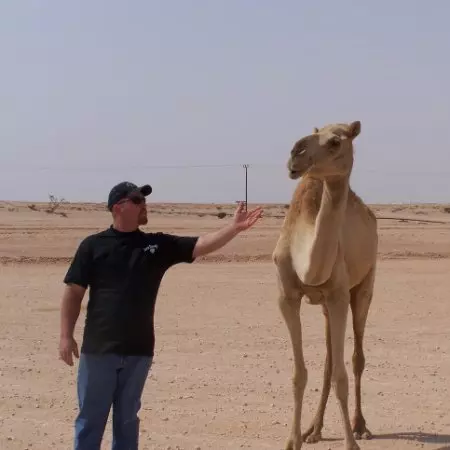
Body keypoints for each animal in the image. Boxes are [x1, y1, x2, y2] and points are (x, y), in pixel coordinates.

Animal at [272, 120, 378, 450]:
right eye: (314, 133)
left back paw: (360, 425)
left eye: (335, 142)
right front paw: (293, 440)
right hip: (324, 306)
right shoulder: (287, 297)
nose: (295, 153)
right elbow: (299, 375)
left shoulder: (338, 295)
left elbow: (342, 376)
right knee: (330, 361)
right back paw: (313, 429)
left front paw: (351, 443)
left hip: (365, 285)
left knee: (355, 359)